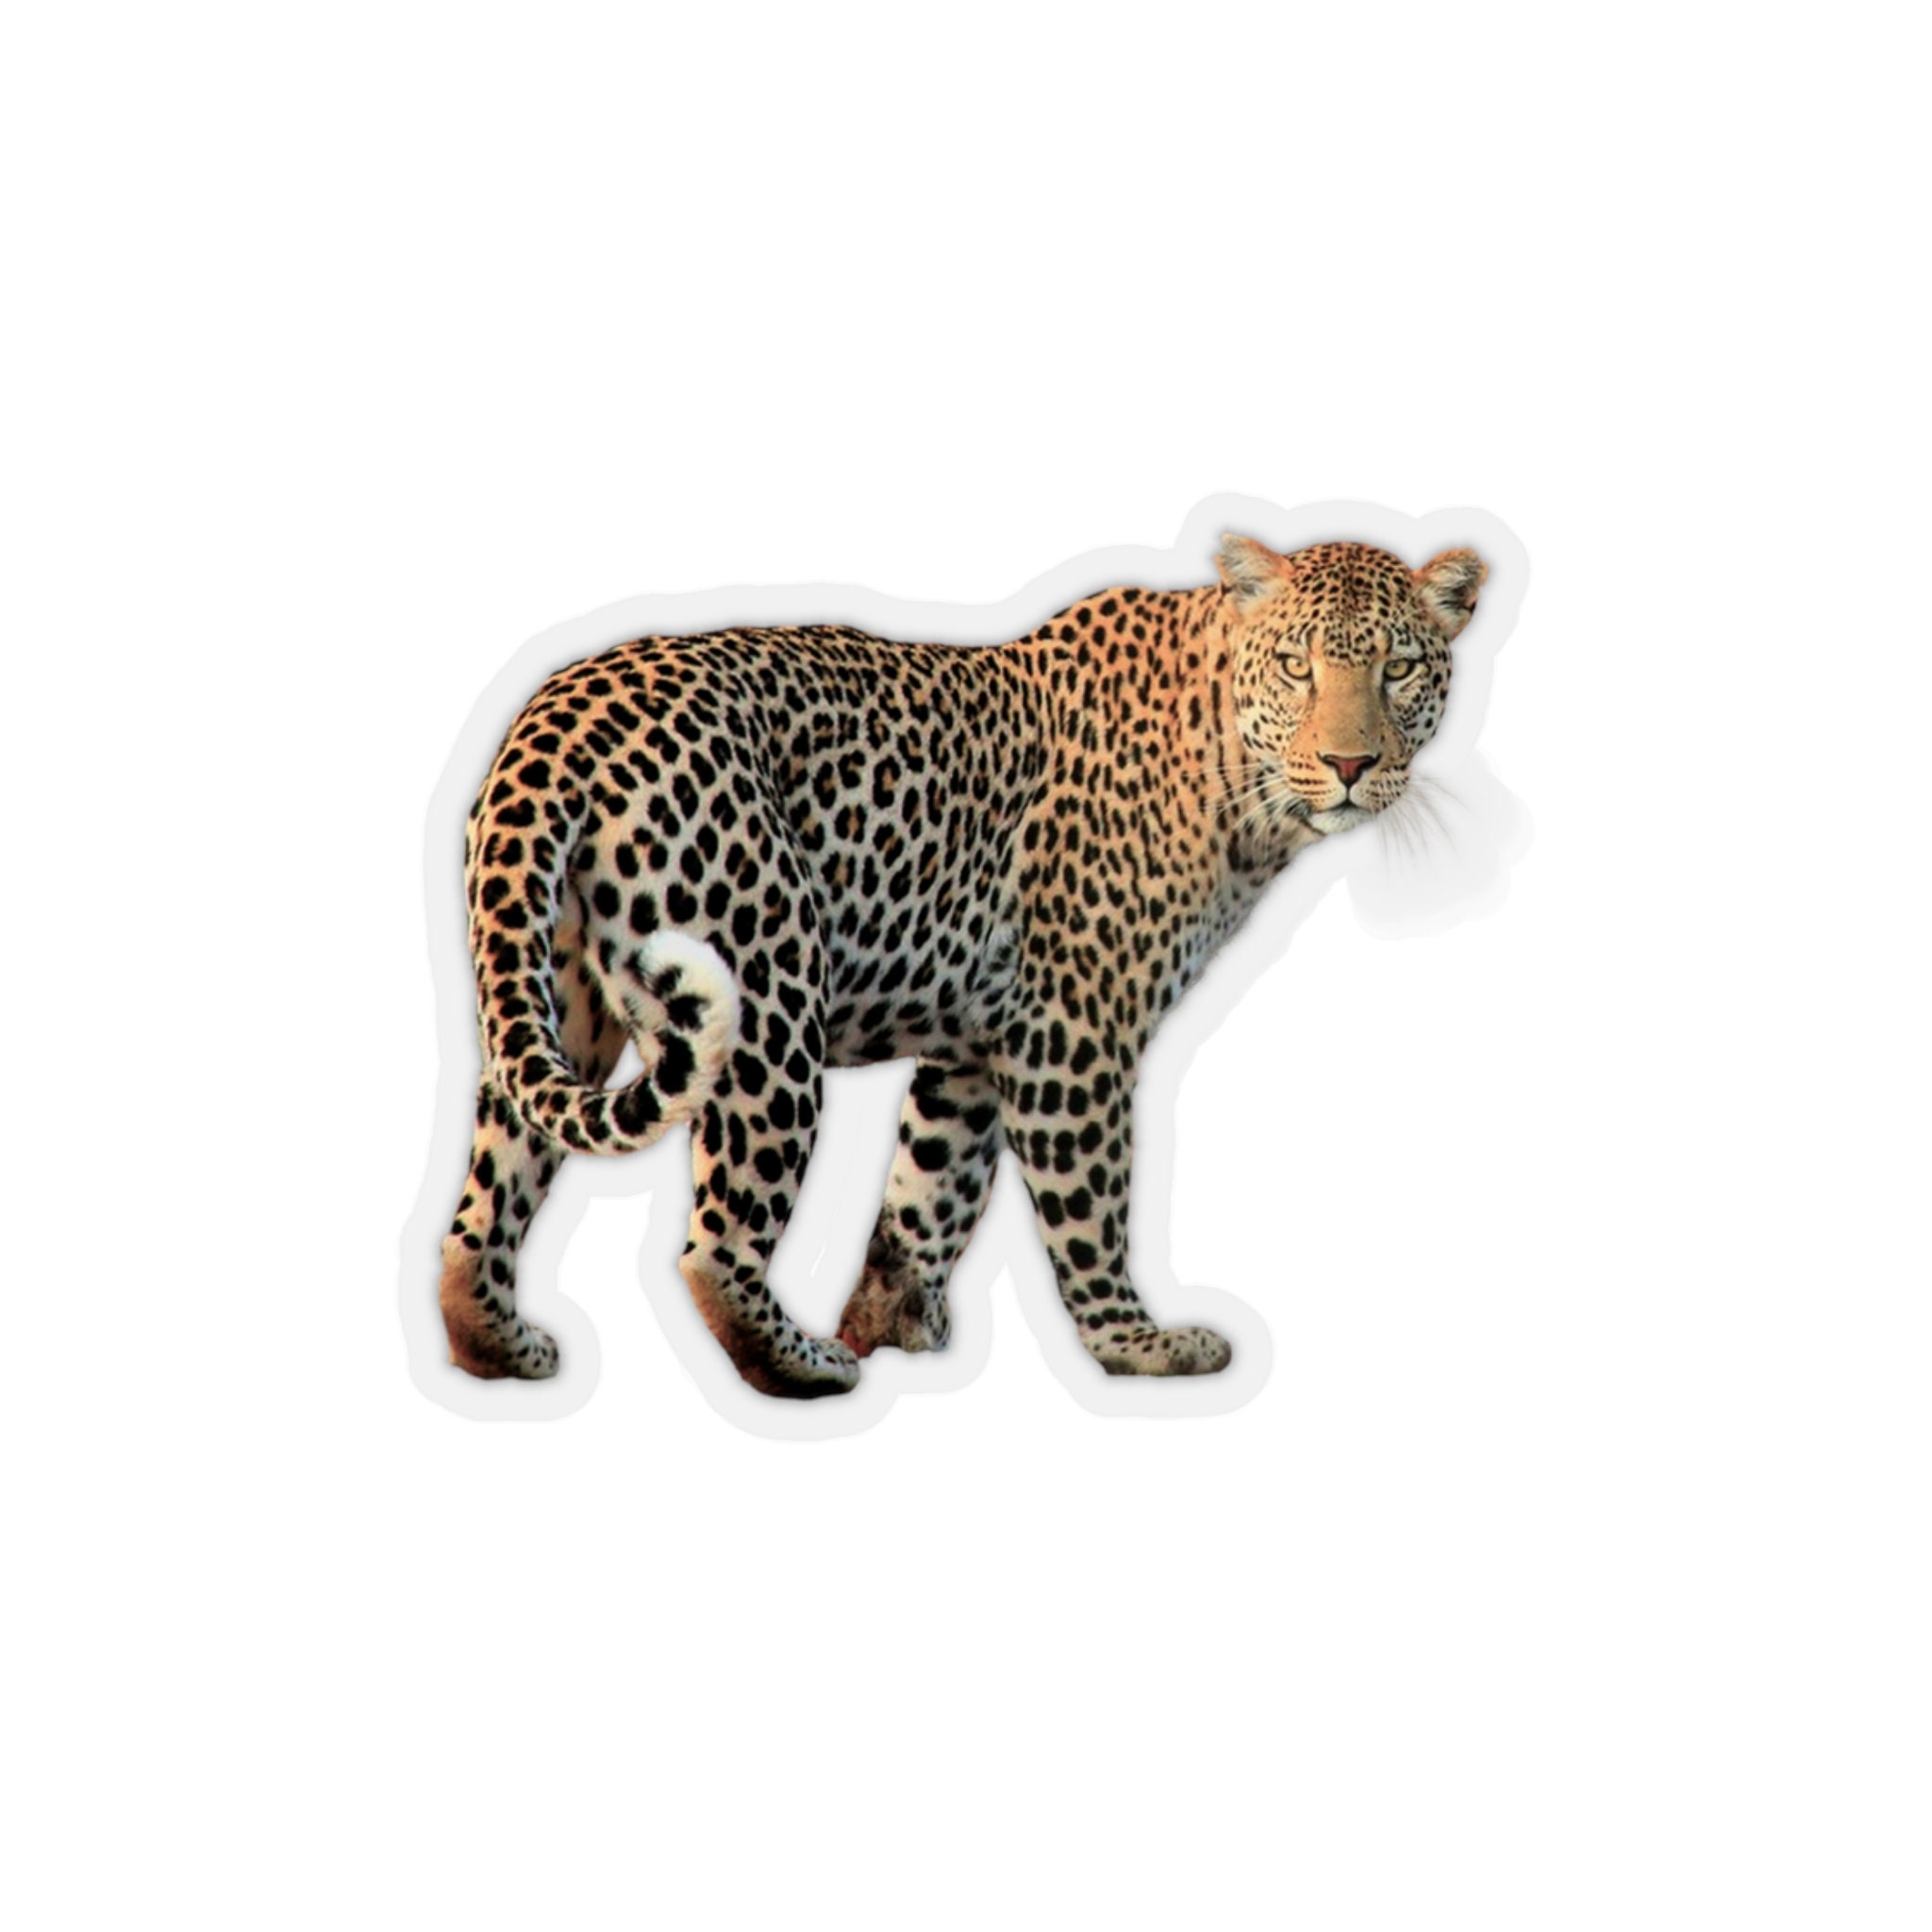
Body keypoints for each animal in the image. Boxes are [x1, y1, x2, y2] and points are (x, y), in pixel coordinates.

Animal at [438, 534, 1487, 1398]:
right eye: (1296, 667)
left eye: (1397, 668)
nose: (1348, 765)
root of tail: (559, 715)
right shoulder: (1072, 1027)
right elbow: (1089, 1198)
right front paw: (1134, 1344)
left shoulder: (979, 1037)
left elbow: (929, 1184)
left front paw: (891, 1319)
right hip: (766, 996)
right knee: (716, 1243)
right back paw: (802, 1364)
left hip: (551, 991)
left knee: (484, 1201)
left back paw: (499, 1345)